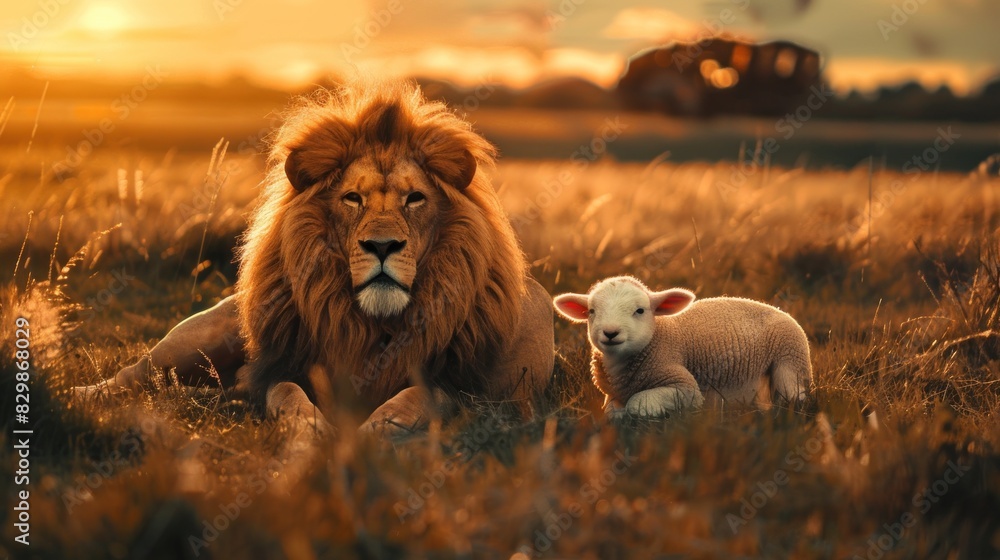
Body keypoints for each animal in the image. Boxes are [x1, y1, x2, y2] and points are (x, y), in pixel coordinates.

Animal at [74, 79, 554, 436]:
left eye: (415, 198)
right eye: (353, 198)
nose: (382, 246)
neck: (375, 326)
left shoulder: (468, 389)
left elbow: (419, 397)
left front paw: (378, 427)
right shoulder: (284, 365)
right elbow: (286, 392)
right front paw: (307, 428)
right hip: (199, 339)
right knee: (136, 373)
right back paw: (78, 395)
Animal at [554, 276, 812, 418]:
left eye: (640, 310)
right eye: (591, 311)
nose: (610, 332)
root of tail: (780, 310)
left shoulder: (685, 387)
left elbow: (637, 403)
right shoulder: (613, 393)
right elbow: (610, 410)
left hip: (791, 360)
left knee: (793, 399)